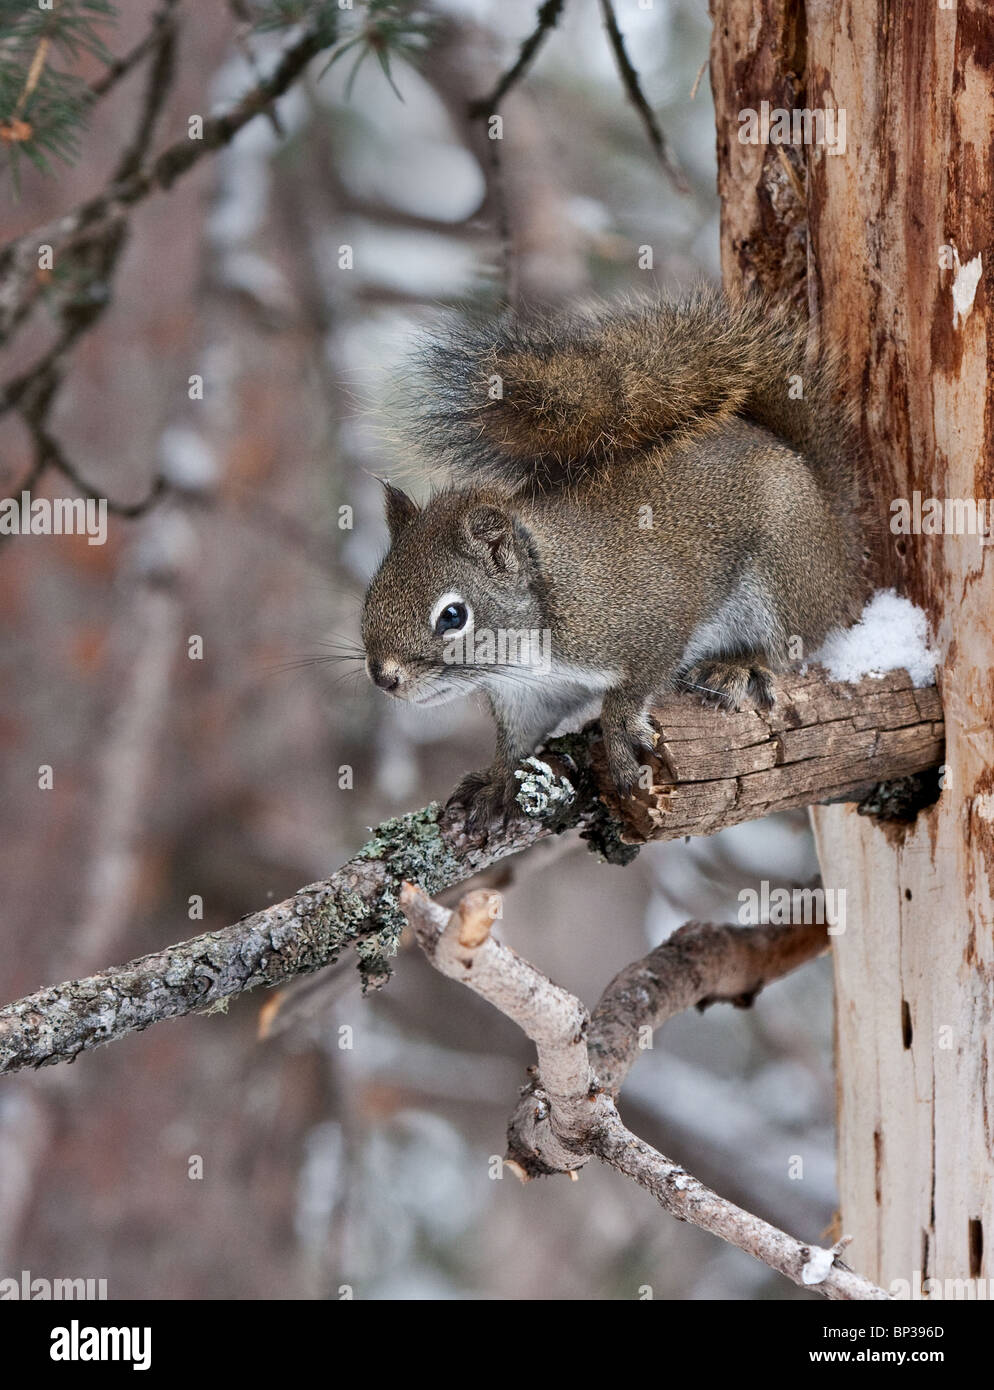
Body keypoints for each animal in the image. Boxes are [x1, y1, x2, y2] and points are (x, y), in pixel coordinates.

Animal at [361, 288, 866, 836]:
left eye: (453, 615)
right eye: (370, 595)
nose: (384, 677)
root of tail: (835, 536)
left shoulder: (650, 617)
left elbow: (638, 683)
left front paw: (620, 731)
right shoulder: (529, 695)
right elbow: (517, 740)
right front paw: (496, 779)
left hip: (783, 570)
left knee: (793, 646)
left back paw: (739, 667)